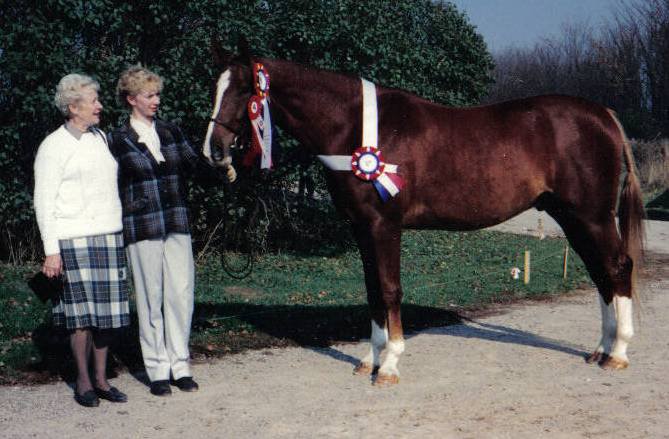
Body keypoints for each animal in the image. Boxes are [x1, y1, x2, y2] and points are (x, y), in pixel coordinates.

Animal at [202, 45, 645, 385]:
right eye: (215, 87)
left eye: (244, 90)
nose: (215, 150)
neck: (356, 128)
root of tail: (604, 115)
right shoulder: (362, 228)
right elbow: (372, 292)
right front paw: (369, 359)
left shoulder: (384, 226)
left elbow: (389, 290)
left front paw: (389, 365)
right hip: (572, 217)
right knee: (600, 273)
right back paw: (600, 350)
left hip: (593, 216)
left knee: (618, 267)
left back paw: (619, 352)